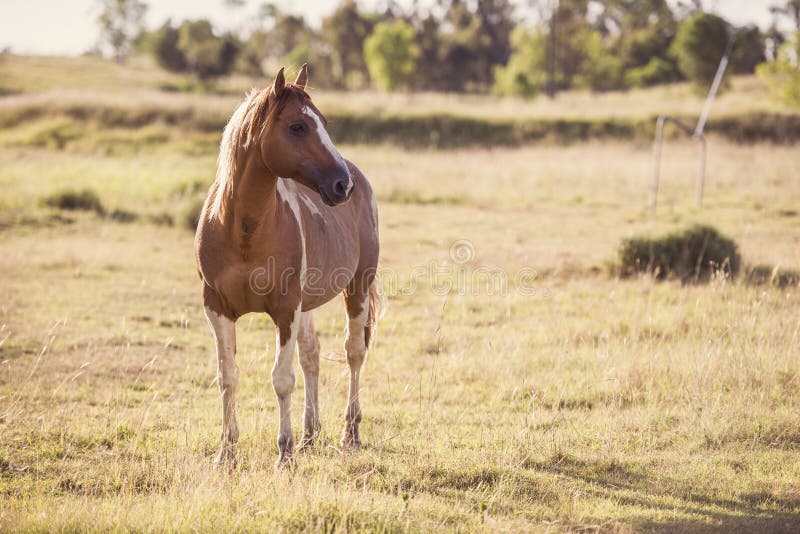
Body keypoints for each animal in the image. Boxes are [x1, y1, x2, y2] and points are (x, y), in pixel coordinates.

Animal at [194, 64, 381, 468]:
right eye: (297, 126)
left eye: (324, 122)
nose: (342, 185)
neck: (243, 228)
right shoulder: (216, 306)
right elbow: (227, 376)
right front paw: (226, 453)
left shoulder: (285, 308)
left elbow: (281, 378)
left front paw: (284, 452)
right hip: (308, 303)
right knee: (312, 355)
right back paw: (311, 434)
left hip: (357, 285)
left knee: (354, 352)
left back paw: (349, 434)